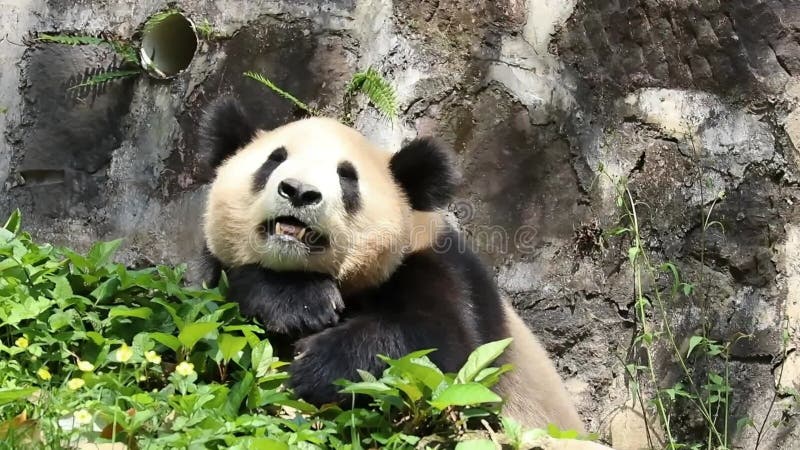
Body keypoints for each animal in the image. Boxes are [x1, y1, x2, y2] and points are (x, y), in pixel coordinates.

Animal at [198, 98, 586, 433]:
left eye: (347, 177)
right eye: (274, 160)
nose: (299, 191)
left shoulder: (435, 266)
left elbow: (442, 347)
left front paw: (314, 365)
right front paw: (299, 304)